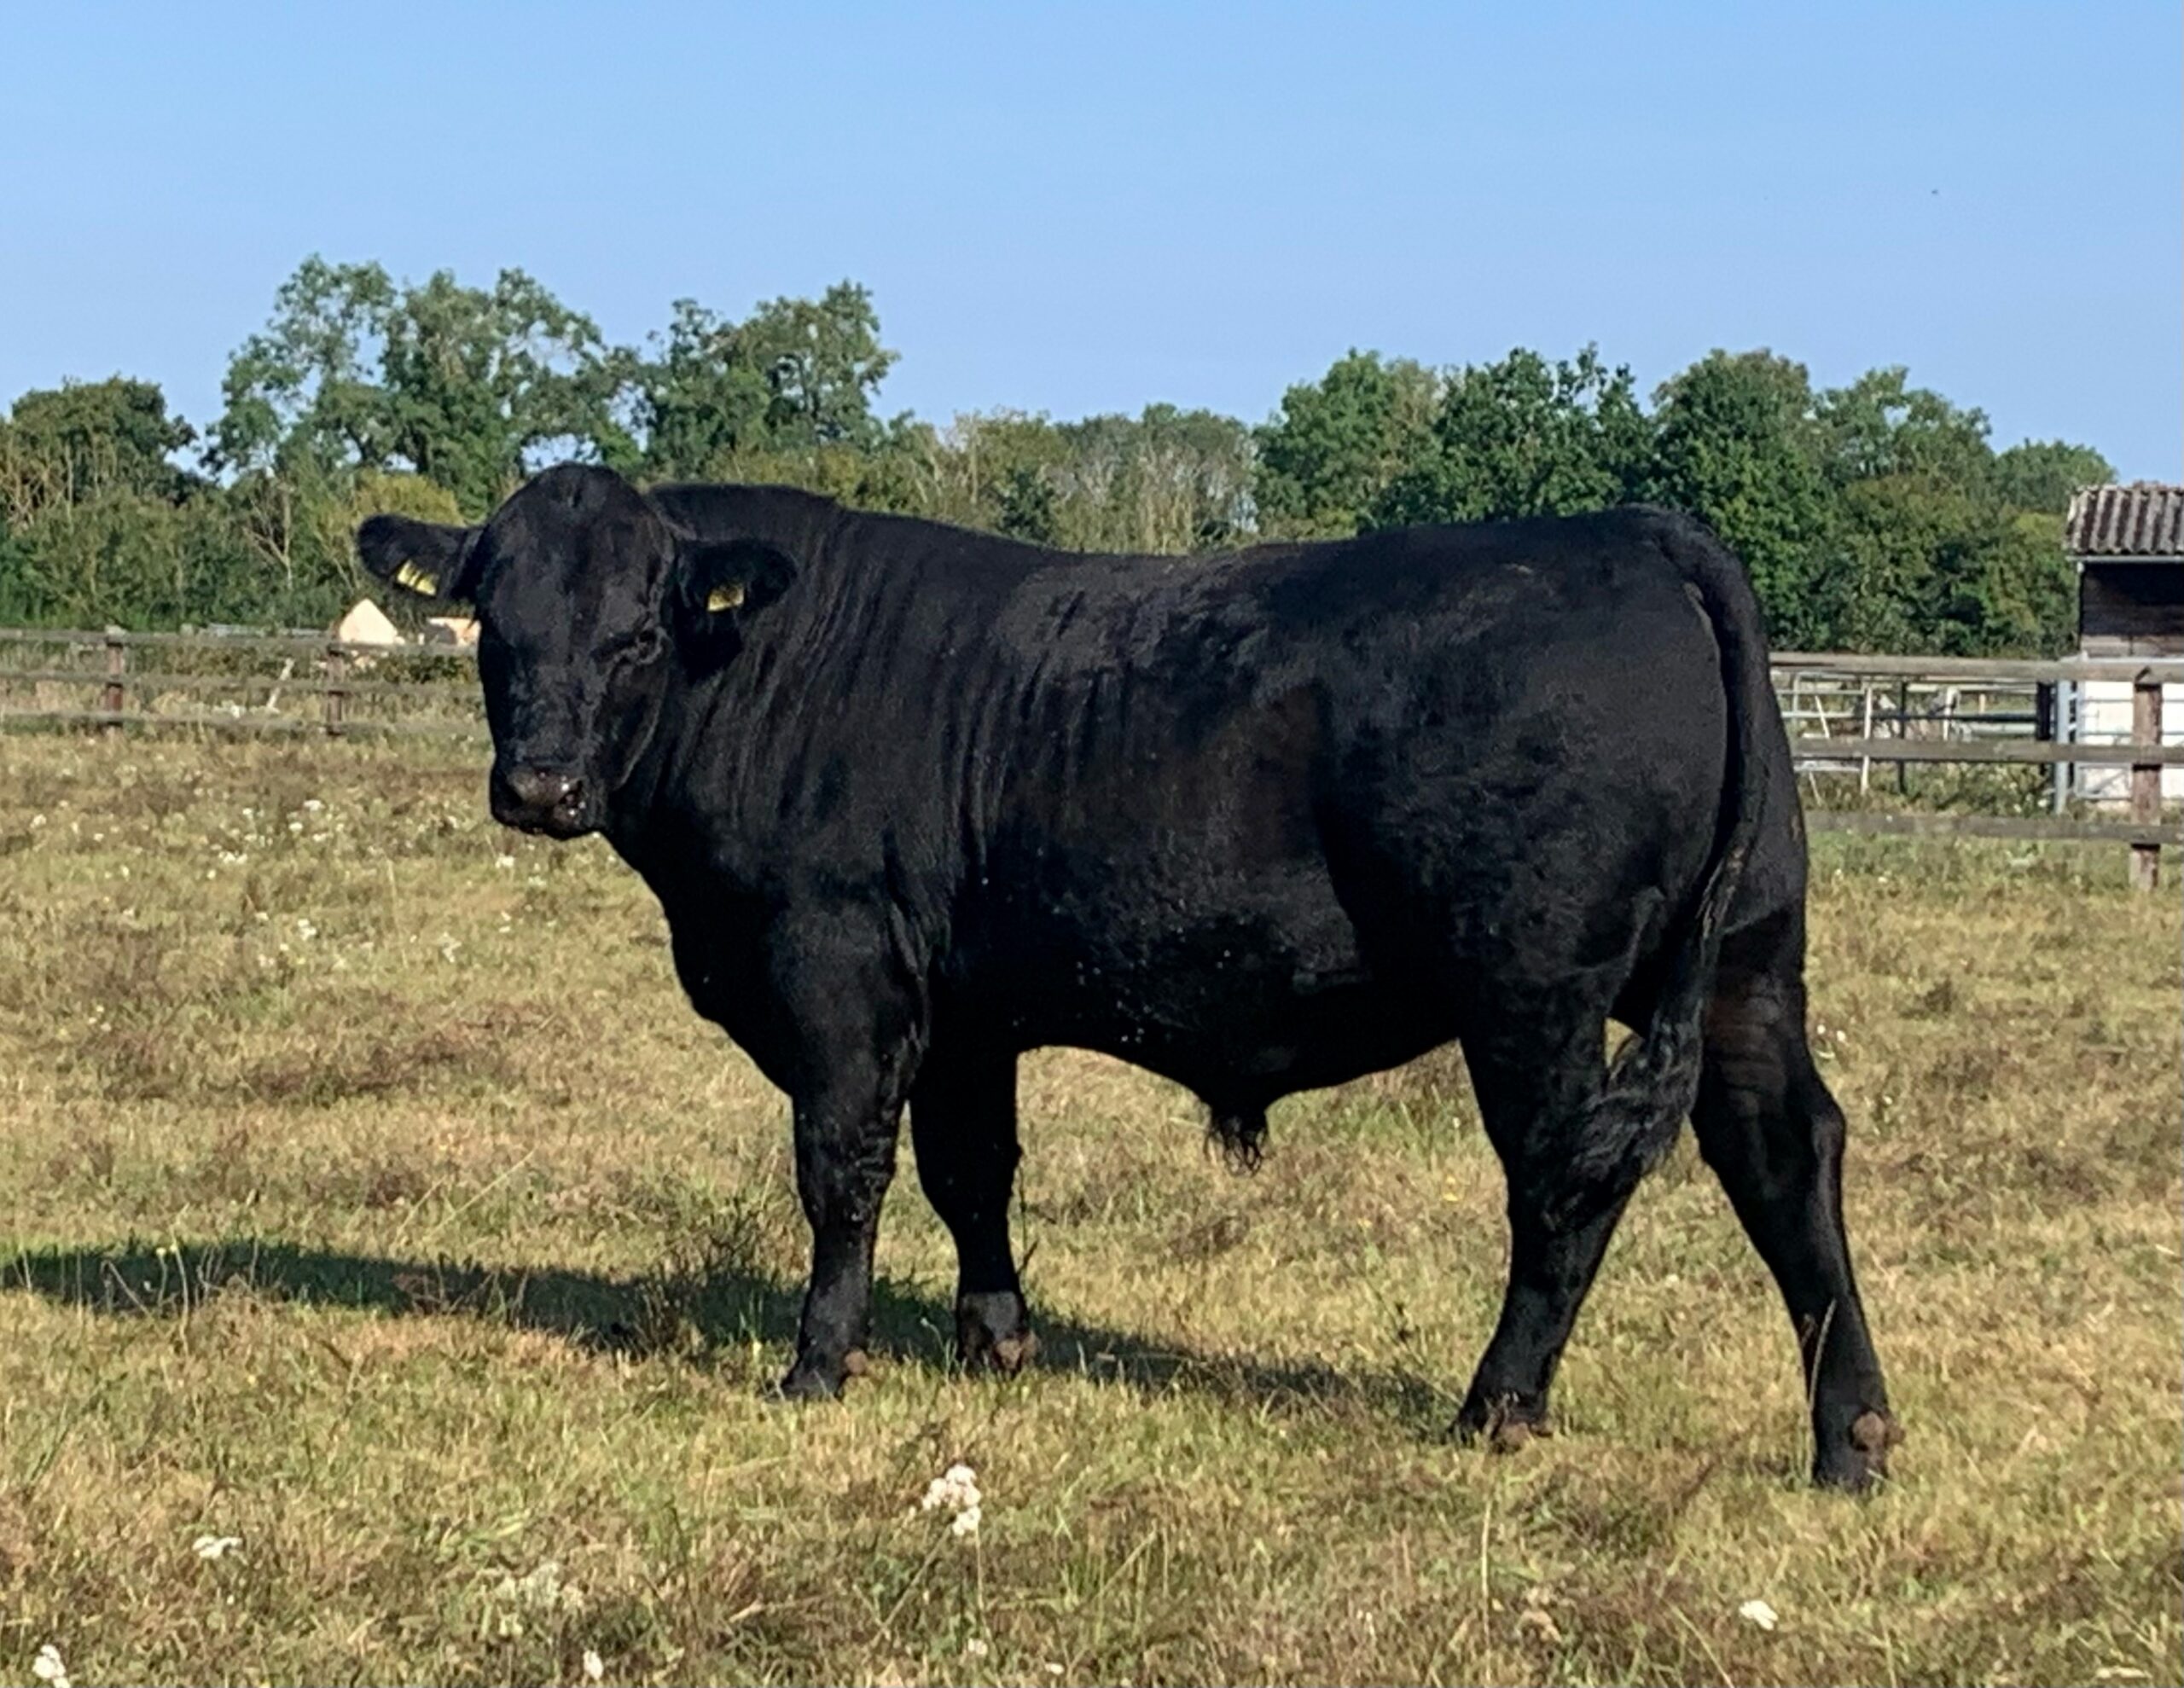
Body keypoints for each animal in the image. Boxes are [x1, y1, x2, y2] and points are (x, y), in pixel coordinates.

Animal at [357, 463, 1898, 1489]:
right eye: (495, 628)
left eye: (636, 633)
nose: (540, 786)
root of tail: (1632, 530)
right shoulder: (965, 1003)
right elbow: (970, 1169)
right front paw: (995, 1342)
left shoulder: (837, 972)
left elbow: (841, 1169)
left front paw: (817, 1361)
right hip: (1750, 965)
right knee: (1786, 1156)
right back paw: (1852, 1437)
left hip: (1533, 987)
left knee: (1565, 1181)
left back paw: (1496, 1407)